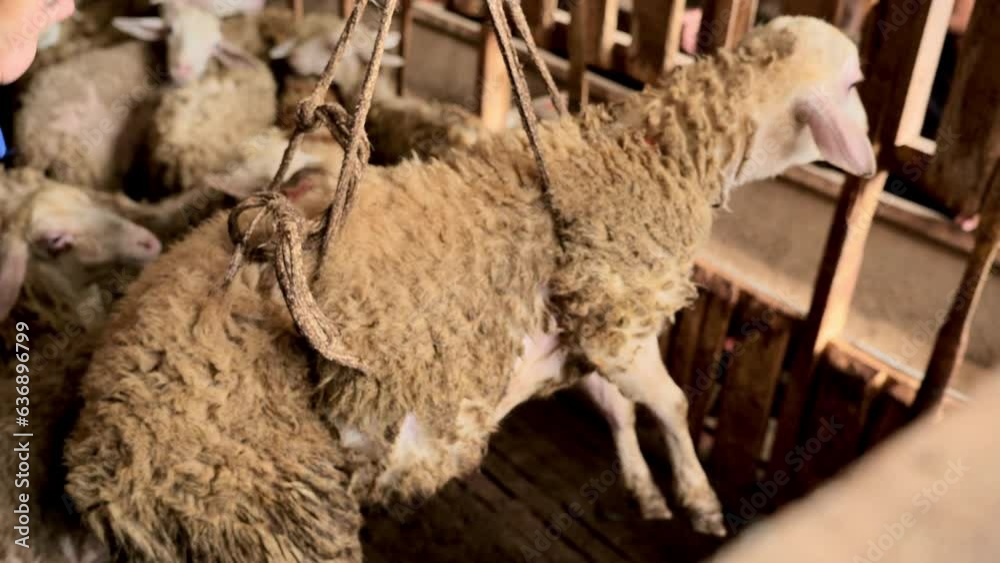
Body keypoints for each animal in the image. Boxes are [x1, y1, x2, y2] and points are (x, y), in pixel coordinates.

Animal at [64, 16, 875, 560]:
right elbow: (672, 403)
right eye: (854, 86)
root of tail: (98, 469)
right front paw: (702, 502)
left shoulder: (583, 327)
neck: (649, 157)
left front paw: (647, 488)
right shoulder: (619, 312)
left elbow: (621, 406)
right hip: (268, 505)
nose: (870, 166)